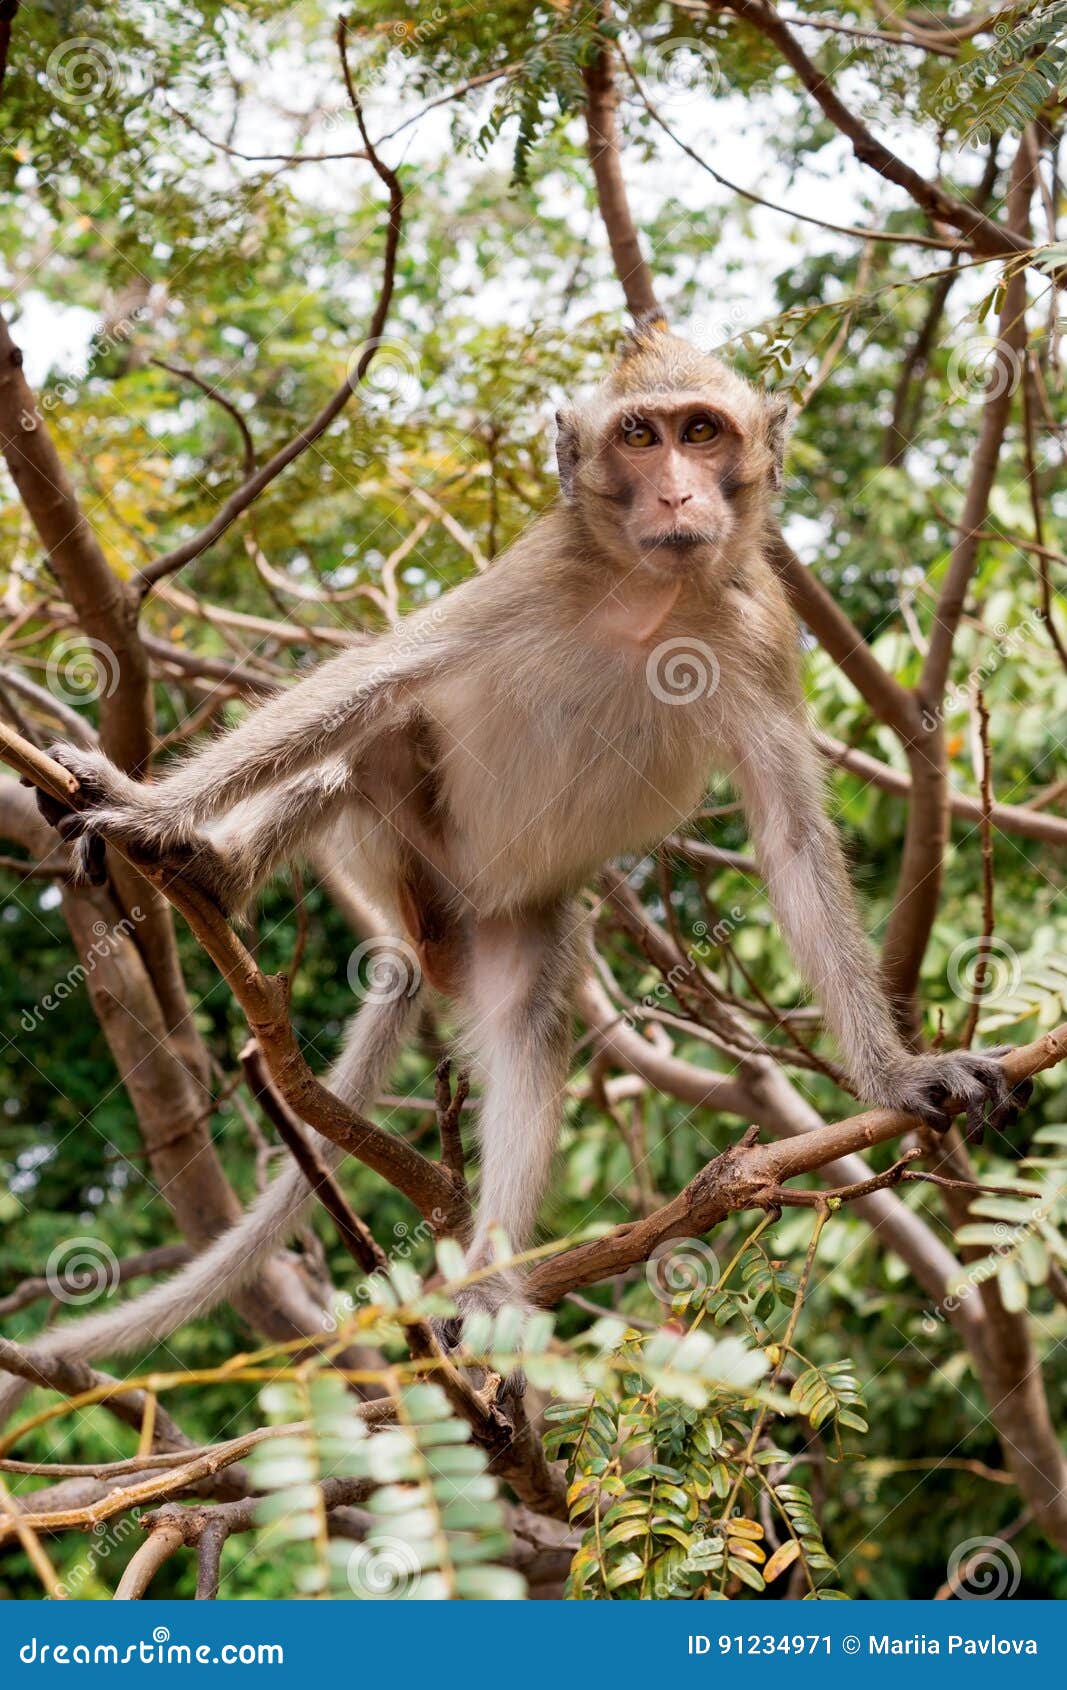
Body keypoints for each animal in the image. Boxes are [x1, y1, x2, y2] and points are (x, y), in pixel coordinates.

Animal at [7, 314, 1012, 1417]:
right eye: (639, 437)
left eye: (701, 432)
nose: (676, 493)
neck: (649, 593)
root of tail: (430, 934)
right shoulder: (536, 571)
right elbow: (376, 674)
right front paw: (153, 810)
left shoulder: (756, 625)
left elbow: (789, 840)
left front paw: (895, 1075)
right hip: (399, 851)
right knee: (377, 731)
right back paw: (212, 866)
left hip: (514, 924)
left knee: (530, 1024)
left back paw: (488, 1278)